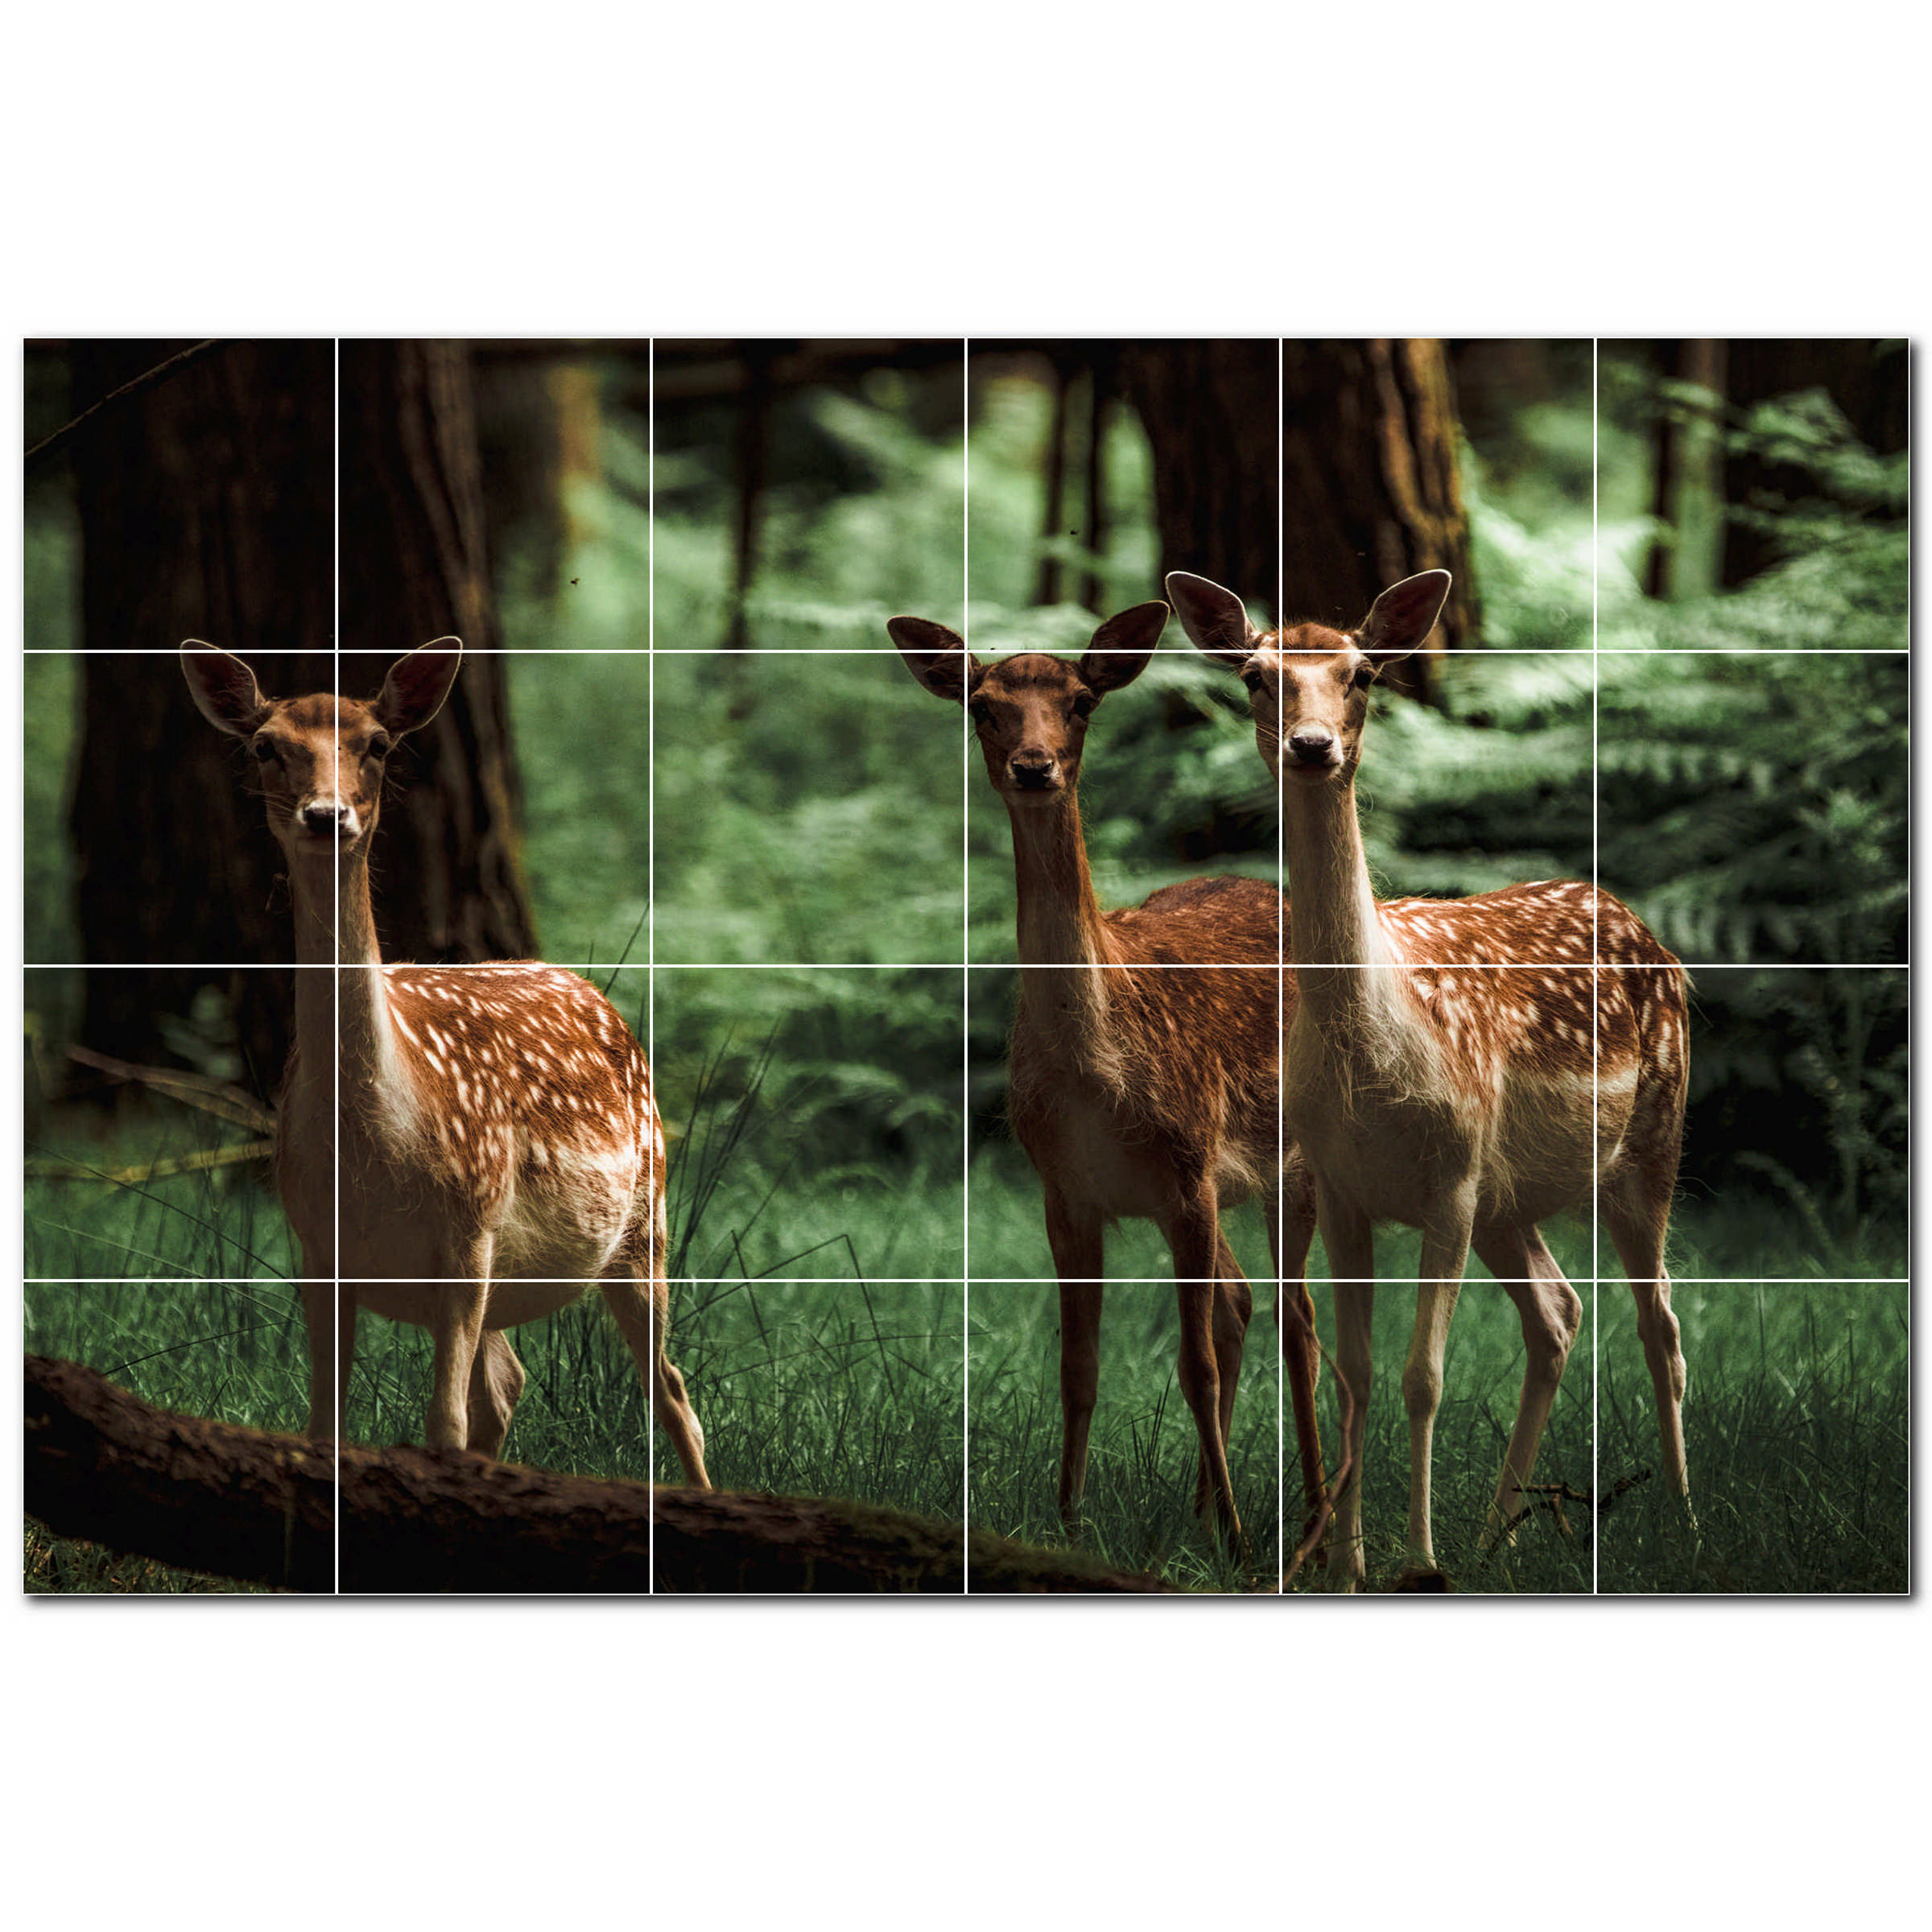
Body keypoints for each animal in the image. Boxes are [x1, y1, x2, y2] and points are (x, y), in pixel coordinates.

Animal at [180, 638, 710, 1487]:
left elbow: (444, 1423)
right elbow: (324, 1423)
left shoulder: (470, 1221)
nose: (327, 815)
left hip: (646, 1217)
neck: (375, 1147)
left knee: (670, 1388)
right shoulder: (314, 1245)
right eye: (265, 746)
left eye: (377, 744)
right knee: (511, 1384)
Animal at [891, 601, 1325, 1556]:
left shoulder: (1188, 1170)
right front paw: (1066, 1518)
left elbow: (1194, 1366)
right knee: (1243, 1303)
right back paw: (1206, 1510)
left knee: (1299, 1320)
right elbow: (1077, 1366)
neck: (1097, 1078)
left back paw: (1308, 1514)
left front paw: (1240, 1538)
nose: (1034, 764)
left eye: (1082, 702)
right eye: (983, 706)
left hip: (1293, 1160)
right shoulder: (1067, 1191)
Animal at [1169, 567, 1692, 1590]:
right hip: (1508, 1197)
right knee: (1559, 1312)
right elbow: (1355, 1374)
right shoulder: (1342, 1186)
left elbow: (1424, 1378)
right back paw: (1499, 1534)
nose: (1312, 745)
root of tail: (1647, 932)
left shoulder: (1449, 1176)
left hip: (1651, 1135)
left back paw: (1688, 1519)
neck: (1377, 1051)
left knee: (1660, 1322)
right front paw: (1346, 1569)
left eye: (1365, 672)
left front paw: (1417, 1560)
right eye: (1256, 675)